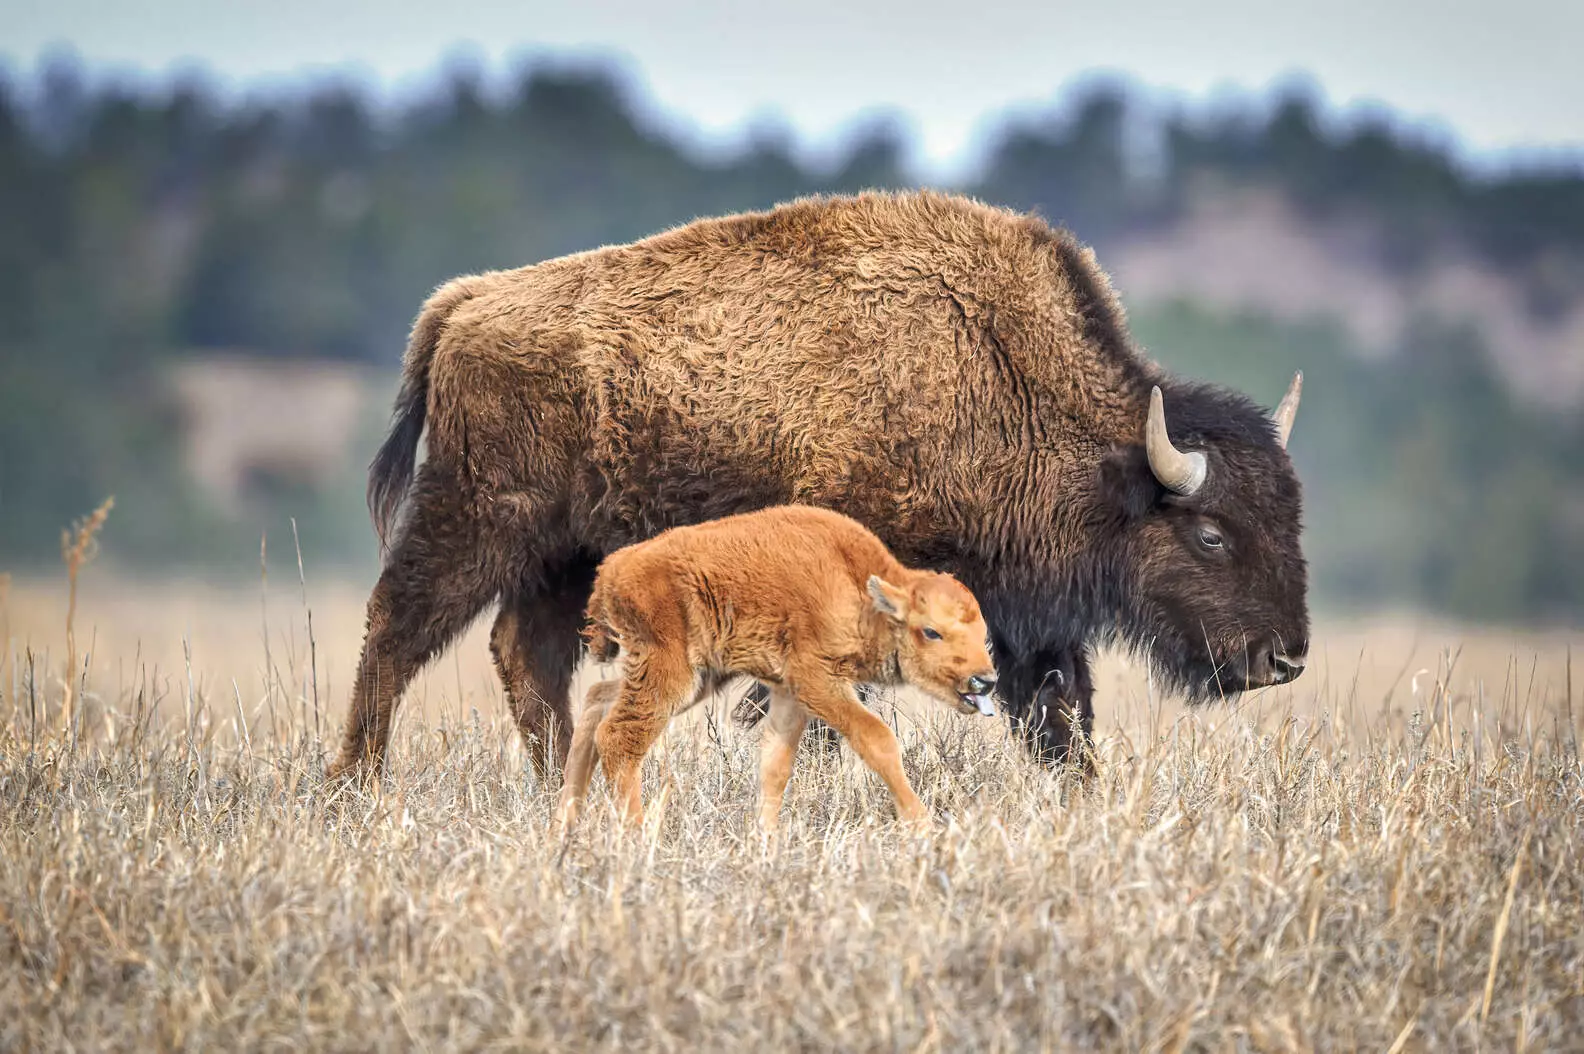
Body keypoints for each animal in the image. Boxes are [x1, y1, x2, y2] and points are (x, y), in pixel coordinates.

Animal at [324, 189, 1311, 786]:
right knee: (397, 630)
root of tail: (462, 305)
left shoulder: (1024, 614)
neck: (1001, 373)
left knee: (524, 656)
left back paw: (564, 781)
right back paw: (355, 784)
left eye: (1290, 521)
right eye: (1211, 534)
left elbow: (1061, 717)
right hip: (478, 520)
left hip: (568, 555)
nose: (1285, 659)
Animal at [551, 500, 994, 830]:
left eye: (982, 631)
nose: (985, 680)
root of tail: (613, 569)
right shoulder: (816, 681)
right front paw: (922, 825)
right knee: (618, 737)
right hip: (670, 674)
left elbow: (774, 767)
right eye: (931, 631)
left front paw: (764, 839)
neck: (857, 586)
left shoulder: (788, 693)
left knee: (597, 700)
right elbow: (877, 738)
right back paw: (636, 834)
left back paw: (564, 827)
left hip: (694, 678)